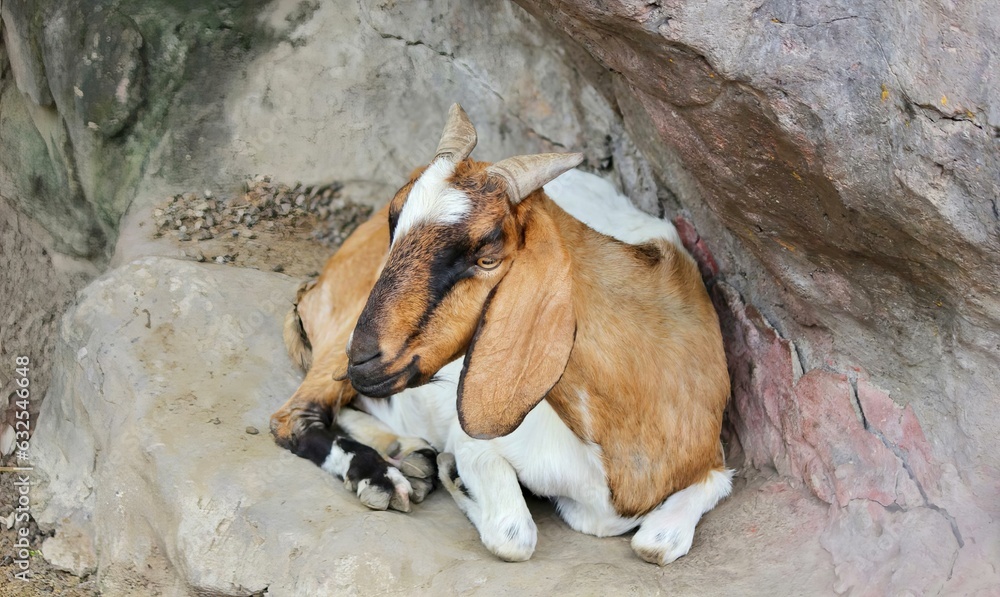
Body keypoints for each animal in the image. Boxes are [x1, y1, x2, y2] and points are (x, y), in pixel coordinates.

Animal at [270, 104, 732, 564]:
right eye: (394, 223)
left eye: (487, 257)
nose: (363, 357)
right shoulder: (476, 442)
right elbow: (514, 535)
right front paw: (453, 475)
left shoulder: (713, 463)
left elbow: (657, 543)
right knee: (293, 418)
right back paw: (382, 477)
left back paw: (409, 454)